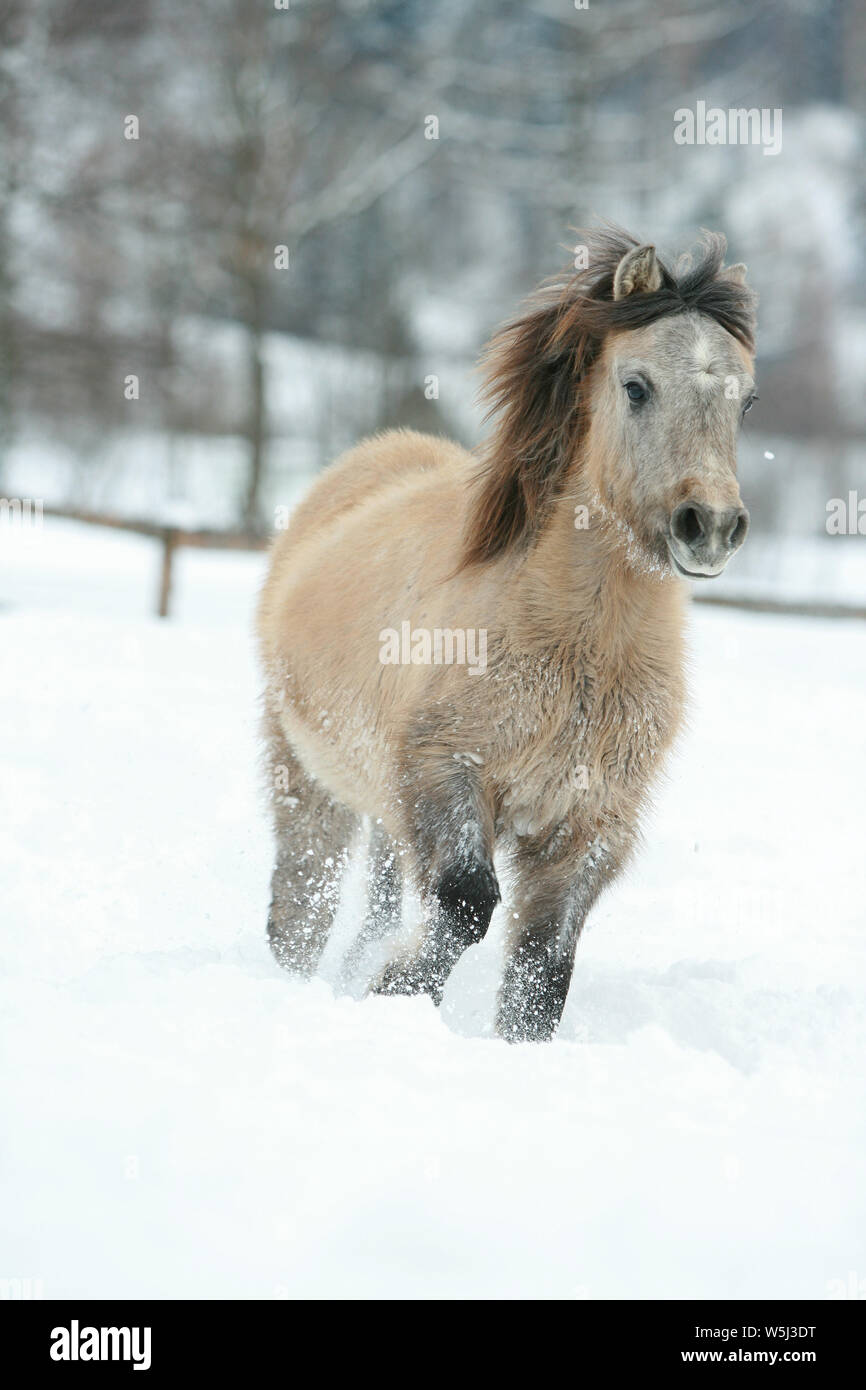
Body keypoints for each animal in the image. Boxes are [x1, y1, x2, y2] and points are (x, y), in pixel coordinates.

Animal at [256, 226, 757, 1041]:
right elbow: (465, 905)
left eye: (747, 399)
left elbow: (545, 963)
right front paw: (396, 992)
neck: (577, 650)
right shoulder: (447, 770)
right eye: (637, 385)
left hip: (385, 807)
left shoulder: (591, 822)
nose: (709, 526)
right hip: (304, 773)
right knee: (300, 910)